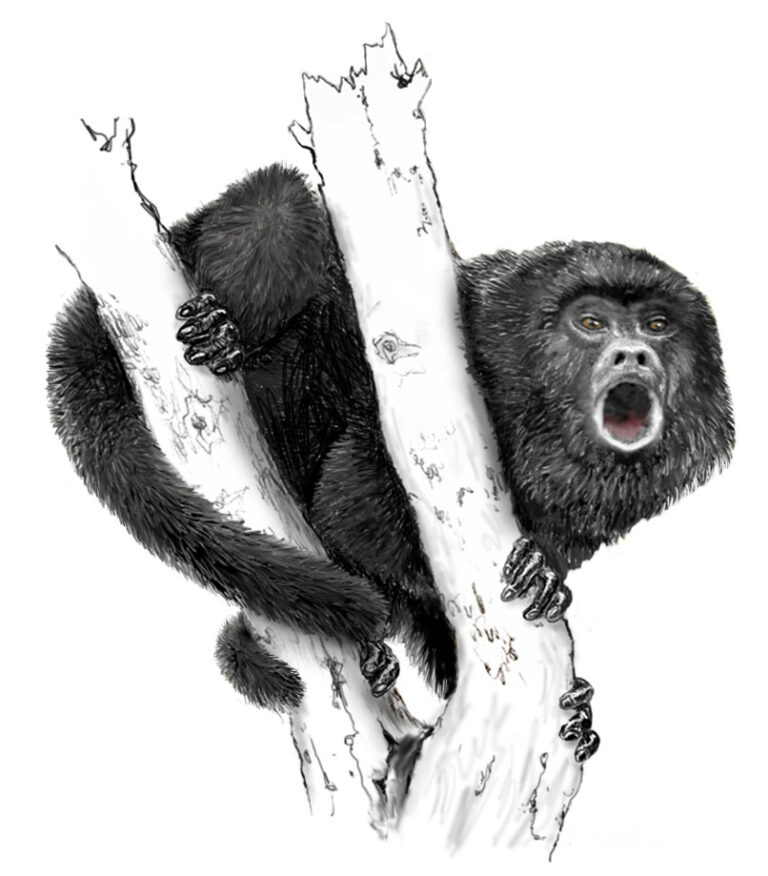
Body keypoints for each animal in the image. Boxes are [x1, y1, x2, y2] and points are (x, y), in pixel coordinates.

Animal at [48, 166, 733, 761]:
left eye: (657, 325)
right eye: (591, 322)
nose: (633, 355)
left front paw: (551, 584)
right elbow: (353, 506)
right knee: (280, 201)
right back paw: (223, 333)